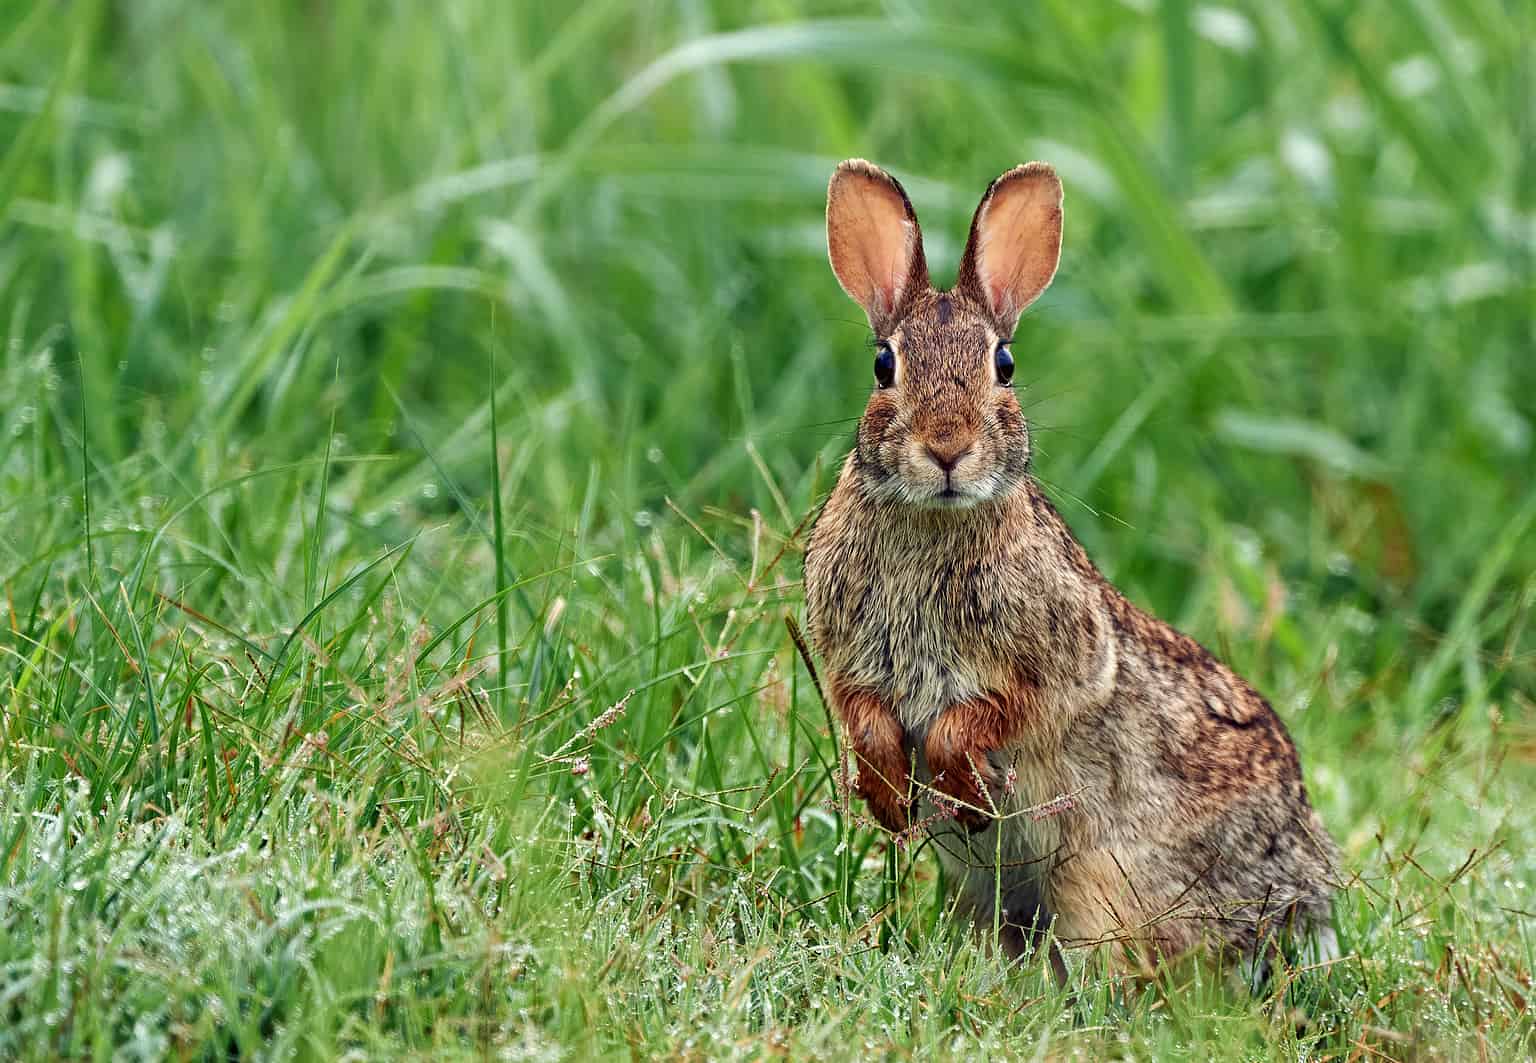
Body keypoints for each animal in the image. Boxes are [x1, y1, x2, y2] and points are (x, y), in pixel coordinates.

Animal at [803, 159, 1340, 982]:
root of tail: (1301, 903)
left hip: (1103, 887)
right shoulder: (849, 661)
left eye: (1004, 365)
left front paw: (957, 787)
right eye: (883, 365)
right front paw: (888, 798)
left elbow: (994, 713)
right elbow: (863, 713)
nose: (948, 449)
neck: (932, 519)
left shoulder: (1063, 663)